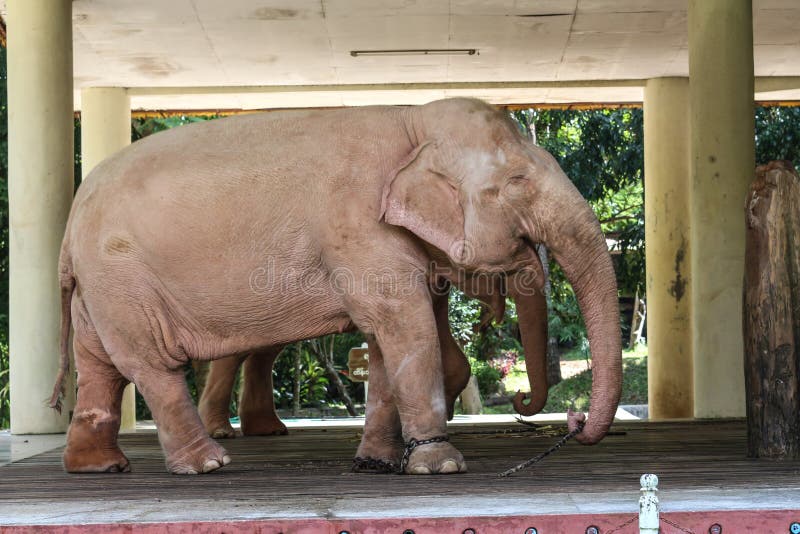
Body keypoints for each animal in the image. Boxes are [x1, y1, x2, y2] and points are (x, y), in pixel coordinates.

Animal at [51, 97, 621, 475]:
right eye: (517, 184)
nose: (571, 420)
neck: (411, 119)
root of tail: (72, 223)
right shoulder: (359, 225)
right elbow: (407, 326)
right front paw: (440, 465)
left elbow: (389, 339)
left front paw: (378, 463)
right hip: (122, 279)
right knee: (151, 366)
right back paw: (208, 463)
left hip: (101, 288)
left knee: (98, 366)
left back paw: (98, 466)